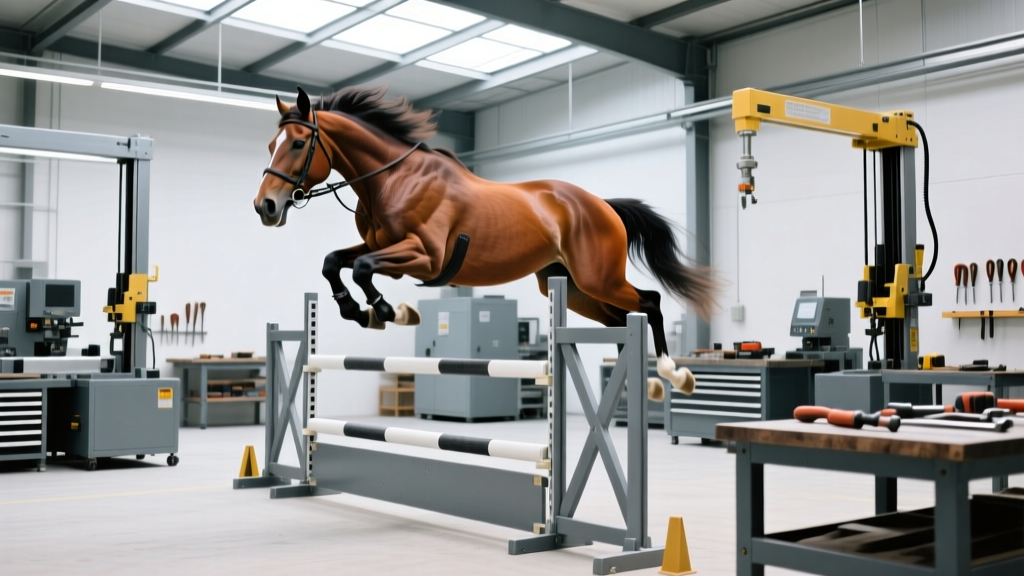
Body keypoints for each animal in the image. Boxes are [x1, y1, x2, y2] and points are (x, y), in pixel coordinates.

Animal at [254, 86, 717, 396]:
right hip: (573, 289)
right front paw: (359, 311)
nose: (266, 207)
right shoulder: (381, 247)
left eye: (298, 143)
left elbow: (364, 269)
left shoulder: (424, 257)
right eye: (271, 143)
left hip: (597, 279)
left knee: (649, 302)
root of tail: (603, 205)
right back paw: (651, 384)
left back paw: (674, 373)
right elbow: (334, 261)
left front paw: (390, 311)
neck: (392, 178)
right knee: (622, 320)